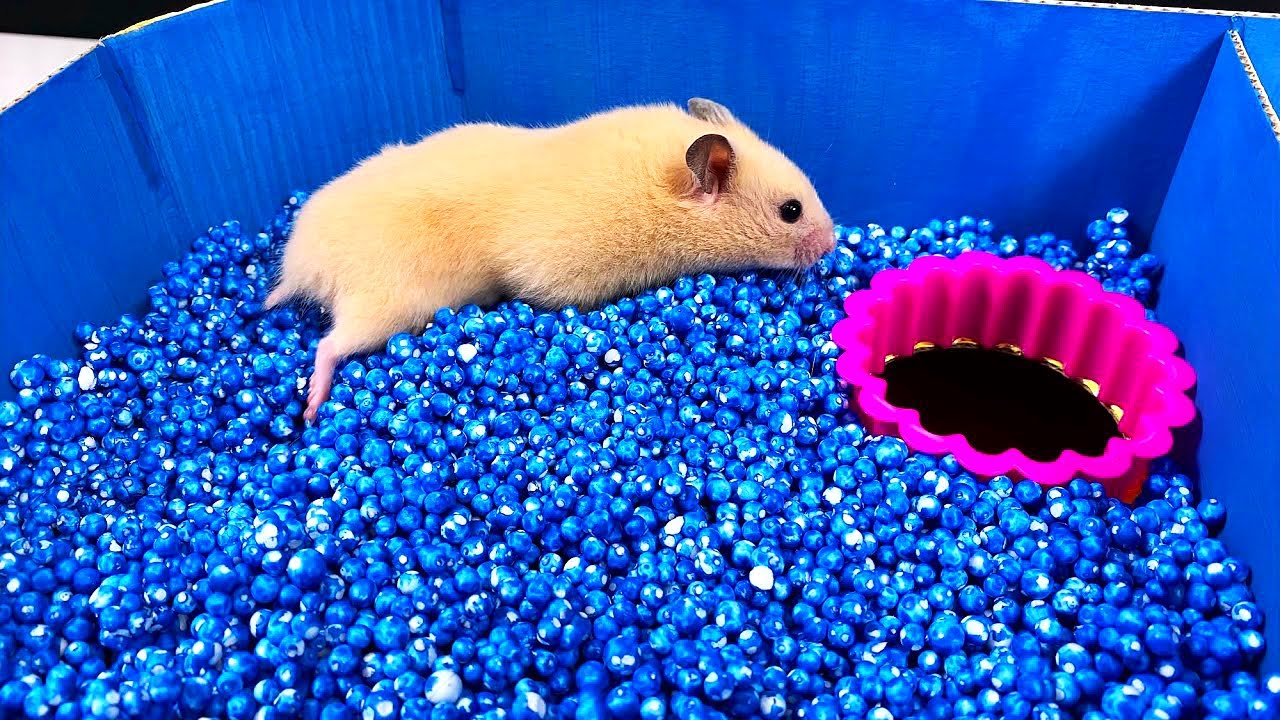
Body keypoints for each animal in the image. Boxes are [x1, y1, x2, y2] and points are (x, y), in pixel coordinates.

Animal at [267, 98, 835, 422]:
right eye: (790, 211)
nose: (832, 244)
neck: (666, 191)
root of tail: (301, 265)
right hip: (386, 304)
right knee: (328, 346)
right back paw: (312, 408)